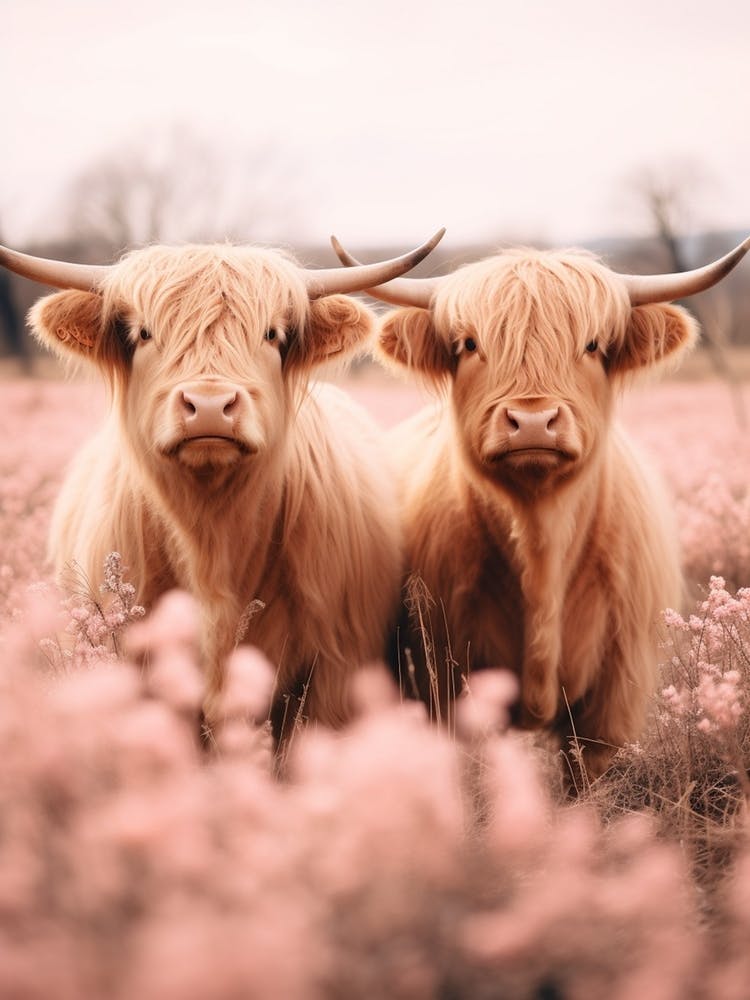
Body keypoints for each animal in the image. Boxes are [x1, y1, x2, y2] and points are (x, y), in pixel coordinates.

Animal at [332, 234, 750, 775]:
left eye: (592, 345)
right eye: (470, 345)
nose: (532, 421)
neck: (540, 535)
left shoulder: (610, 704)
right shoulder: (443, 679)